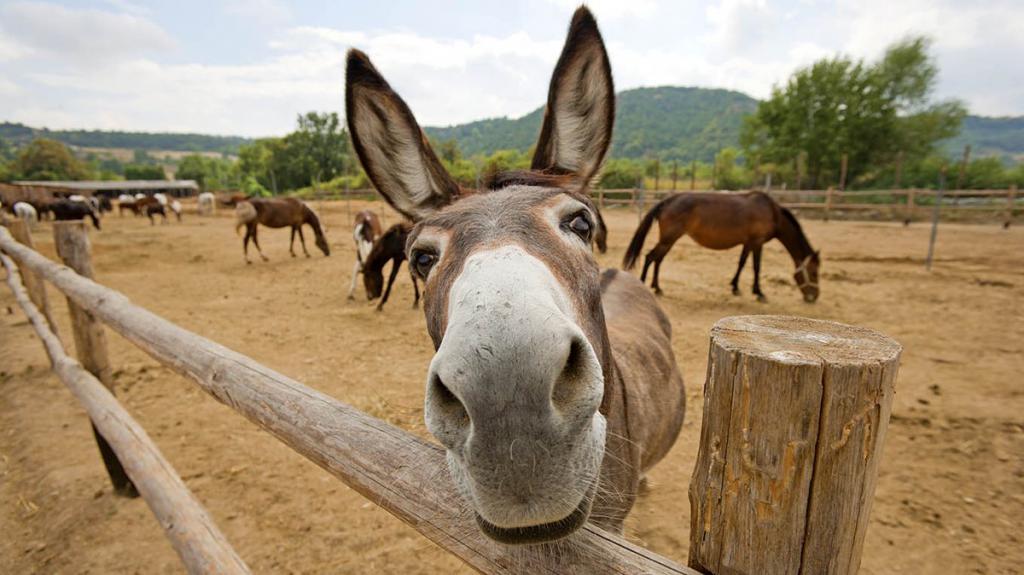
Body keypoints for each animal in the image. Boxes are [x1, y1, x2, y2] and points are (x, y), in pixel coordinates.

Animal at [618, 191, 819, 302]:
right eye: (814, 272)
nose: (814, 297)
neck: (771, 212)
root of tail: (668, 201)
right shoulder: (757, 242)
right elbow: (756, 267)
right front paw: (759, 292)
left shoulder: (747, 243)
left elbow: (741, 263)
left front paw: (735, 287)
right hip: (669, 238)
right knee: (650, 257)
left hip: (669, 240)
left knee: (658, 259)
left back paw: (657, 288)